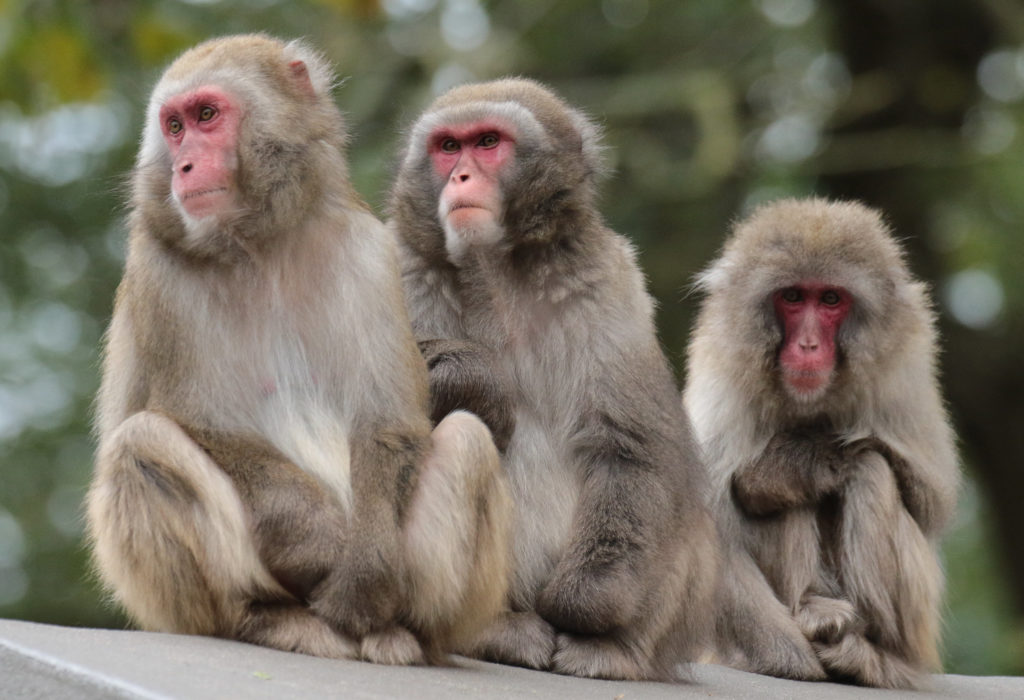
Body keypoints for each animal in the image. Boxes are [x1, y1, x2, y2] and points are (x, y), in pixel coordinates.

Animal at [85, 34, 513, 666]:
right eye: (174, 127)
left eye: (206, 115)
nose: (183, 166)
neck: (260, 243)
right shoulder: (158, 273)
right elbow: (202, 418)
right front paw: (318, 544)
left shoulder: (368, 250)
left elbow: (386, 422)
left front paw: (363, 576)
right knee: (139, 446)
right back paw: (267, 618)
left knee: (468, 438)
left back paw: (402, 631)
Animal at [387, 78, 718, 681]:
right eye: (448, 147)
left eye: (487, 142)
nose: (460, 177)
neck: (495, 269)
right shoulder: (402, 261)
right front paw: (480, 380)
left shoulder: (607, 284)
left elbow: (632, 445)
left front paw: (582, 607)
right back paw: (497, 630)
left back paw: (615, 648)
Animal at [683, 197, 960, 688]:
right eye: (793, 297)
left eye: (831, 299)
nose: (809, 345)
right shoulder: (722, 369)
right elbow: (713, 522)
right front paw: (790, 658)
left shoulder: (904, 368)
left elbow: (934, 500)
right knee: (770, 496)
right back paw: (812, 609)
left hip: (914, 629)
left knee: (870, 469)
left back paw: (874, 658)